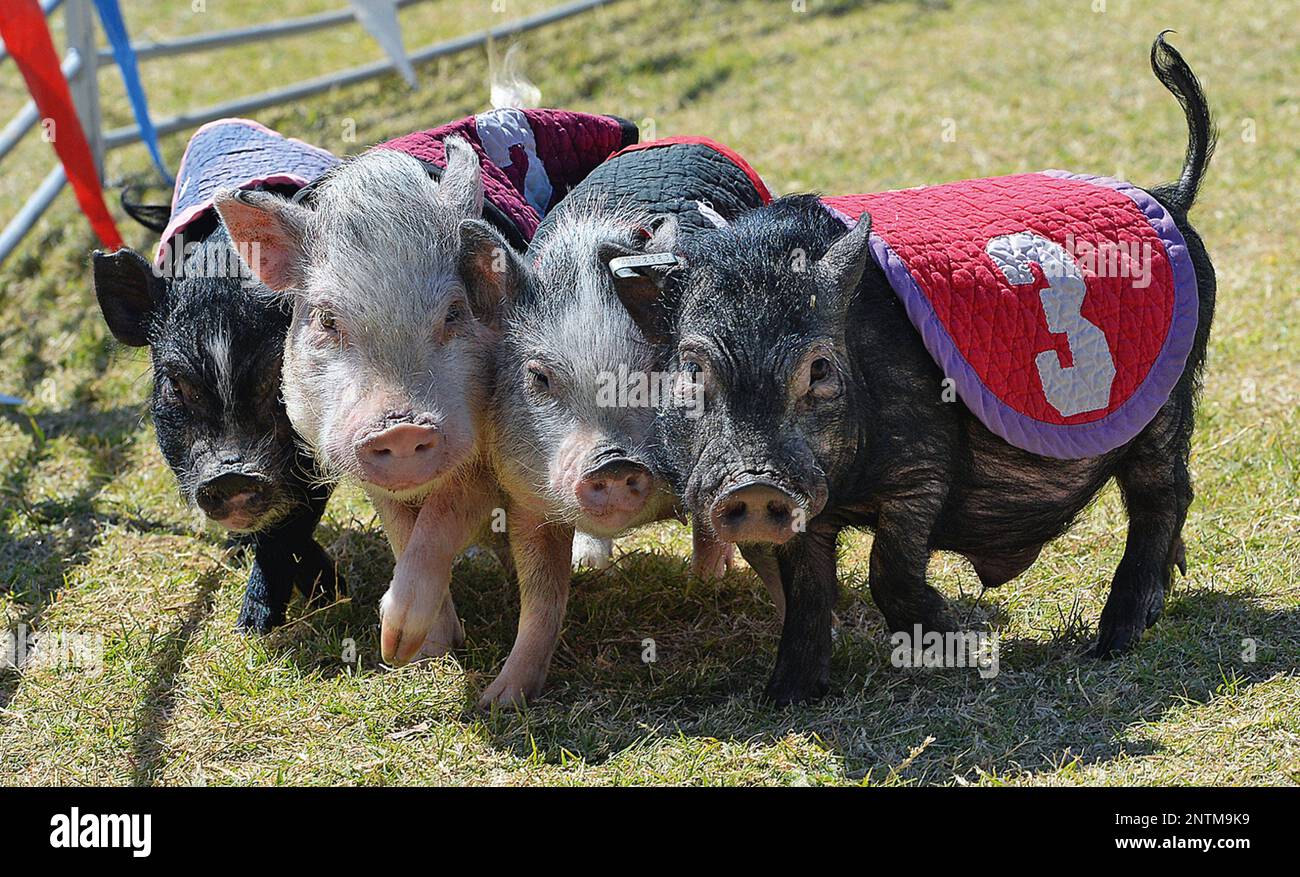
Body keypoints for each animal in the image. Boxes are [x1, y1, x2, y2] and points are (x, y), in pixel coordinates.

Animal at [616, 34, 1218, 704]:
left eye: (819, 369)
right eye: (693, 371)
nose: (753, 485)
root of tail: (1167, 197)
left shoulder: (925, 466)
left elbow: (891, 566)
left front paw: (964, 643)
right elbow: (807, 589)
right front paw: (786, 697)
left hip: (1168, 396)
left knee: (1164, 492)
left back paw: (1113, 640)